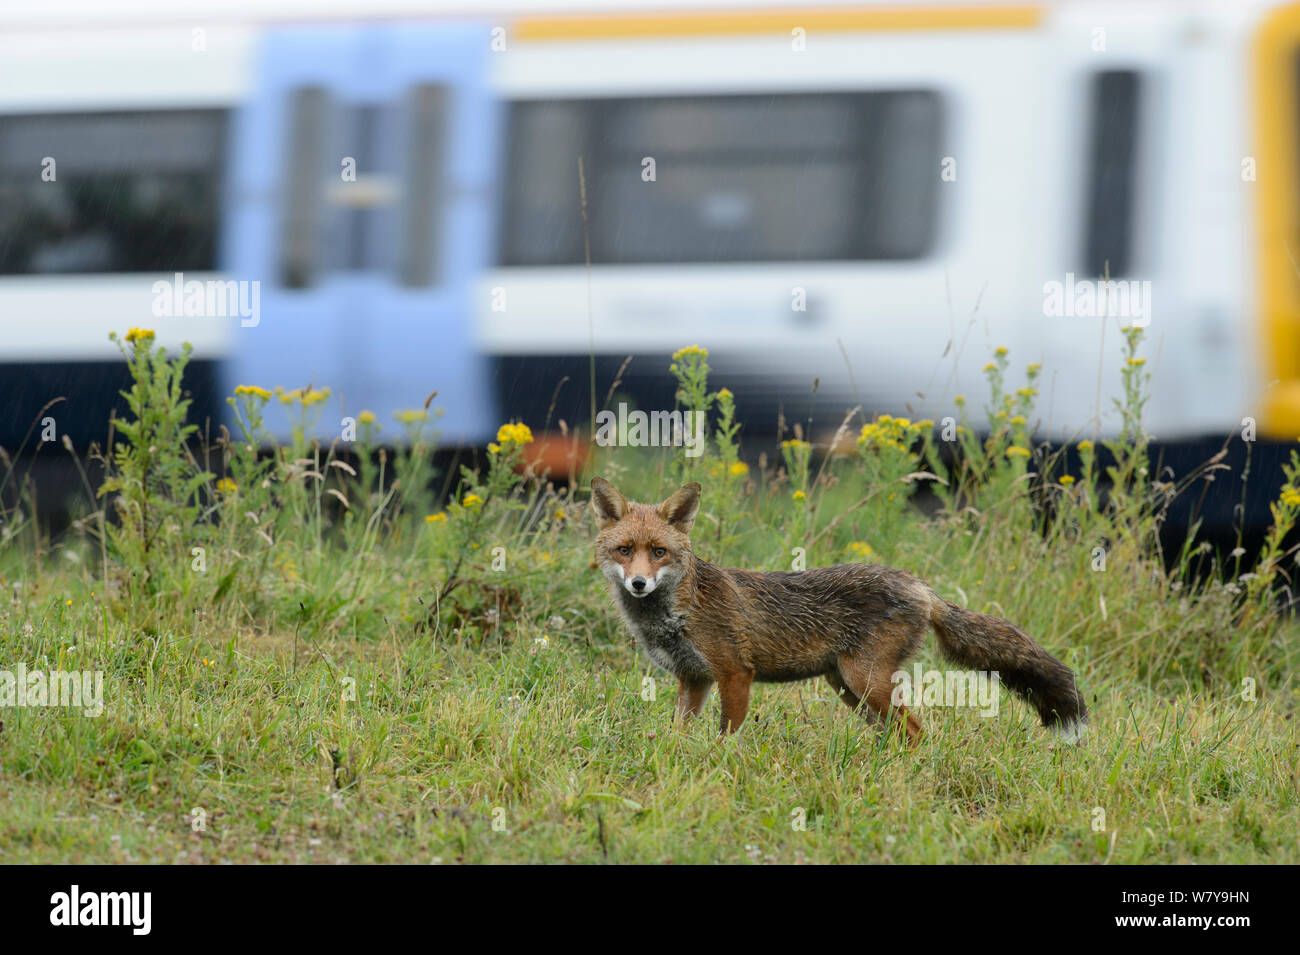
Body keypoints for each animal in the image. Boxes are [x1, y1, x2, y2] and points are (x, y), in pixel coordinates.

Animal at [590, 477, 1087, 746]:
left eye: (658, 552)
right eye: (624, 550)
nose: (638, 583)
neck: (675, 616)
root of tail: (919, 585)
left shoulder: (735, 673)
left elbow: (726, 736)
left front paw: (719, 766)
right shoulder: (693, 679)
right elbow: (679, 733)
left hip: (863, 681)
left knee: (916, 733)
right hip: (850, 688)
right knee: (900, 735)